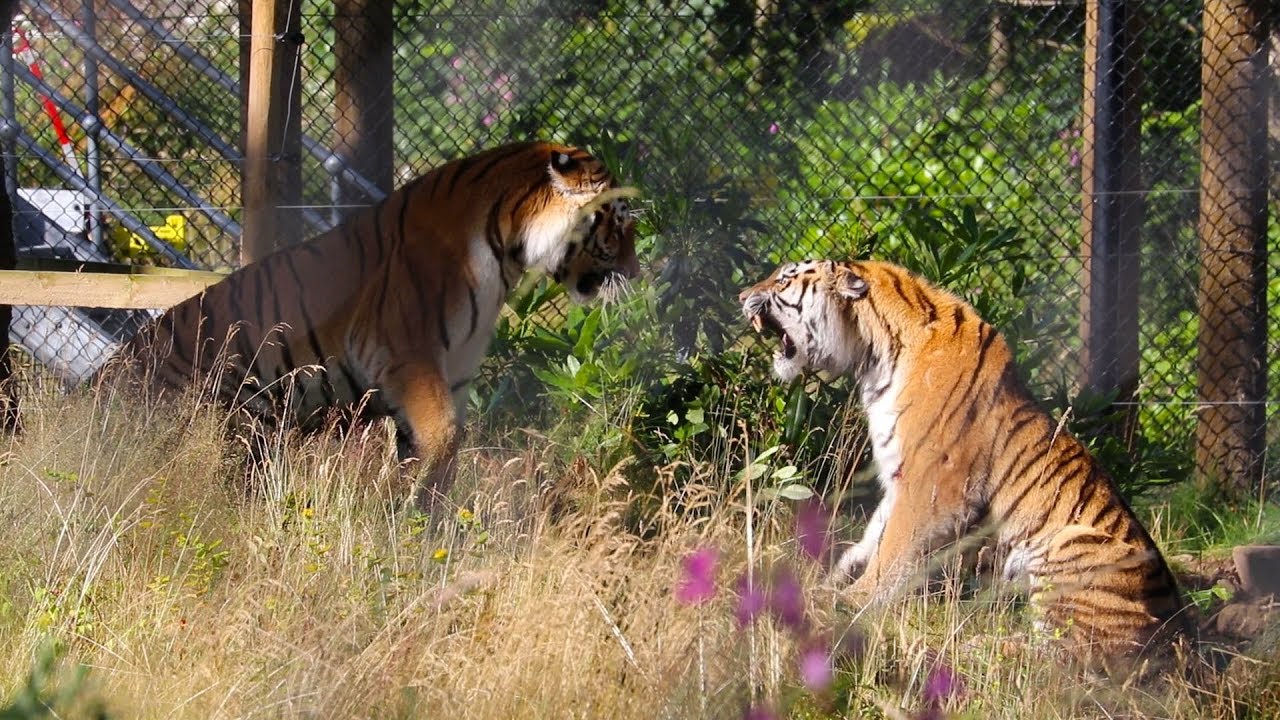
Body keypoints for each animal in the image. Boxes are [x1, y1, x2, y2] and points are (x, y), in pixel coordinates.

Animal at [107, 141, 640, 511]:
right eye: (617, 225)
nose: (635, 274)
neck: (506, 246)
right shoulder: (406, 358)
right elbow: (445, 438)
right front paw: (405, 508)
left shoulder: (450, 375)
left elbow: (436, 450)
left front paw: (422, 520)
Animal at [739, 259, 1192, 670]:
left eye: (784, 279)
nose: (742, 296)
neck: (873, 352)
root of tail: (1179, 635)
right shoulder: (899, 476)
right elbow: (872, 538)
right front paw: (832, 579)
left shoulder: (933, 486)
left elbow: (893, 550)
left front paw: (850, 599)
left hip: (1070, 544)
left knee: (1064, 658)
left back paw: (979, 647)